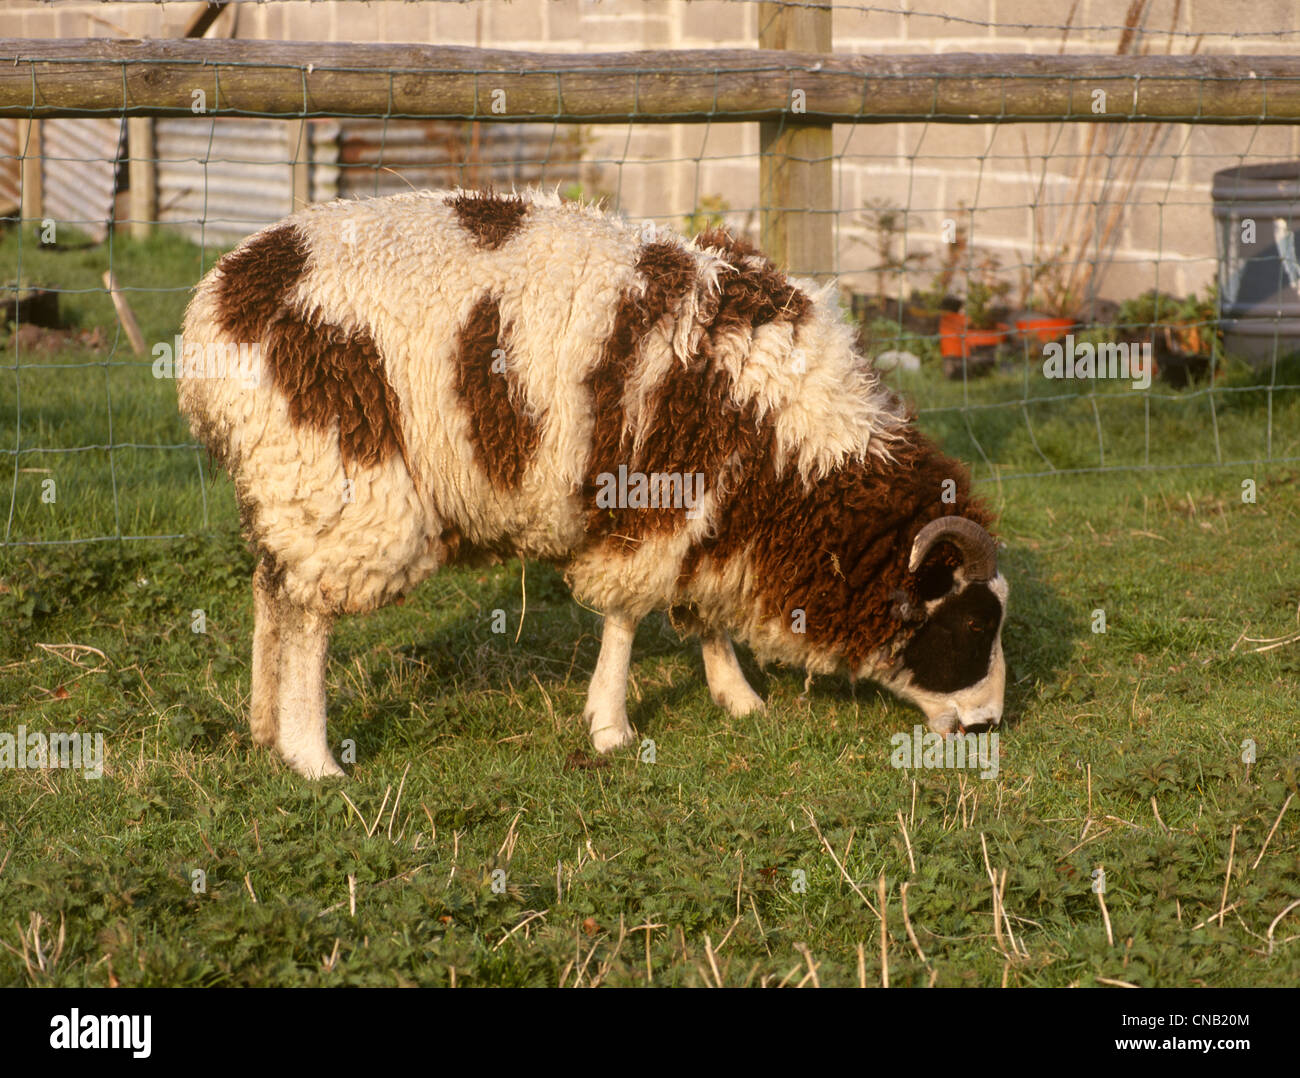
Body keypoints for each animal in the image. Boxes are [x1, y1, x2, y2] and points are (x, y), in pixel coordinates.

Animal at [178, 187, 1008, 778]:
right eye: (971, 625)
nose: (991, 724)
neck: (798, 445)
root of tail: (215, 308)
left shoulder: (710, 509)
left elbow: (700, 609)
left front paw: (739, 700)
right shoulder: (662, 495)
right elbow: (627, 616)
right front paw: (611, 727)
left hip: (287, 475)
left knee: (271, 588)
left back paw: (263, 724)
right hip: (342, 472)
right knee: (310, 613)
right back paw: (312, 755)